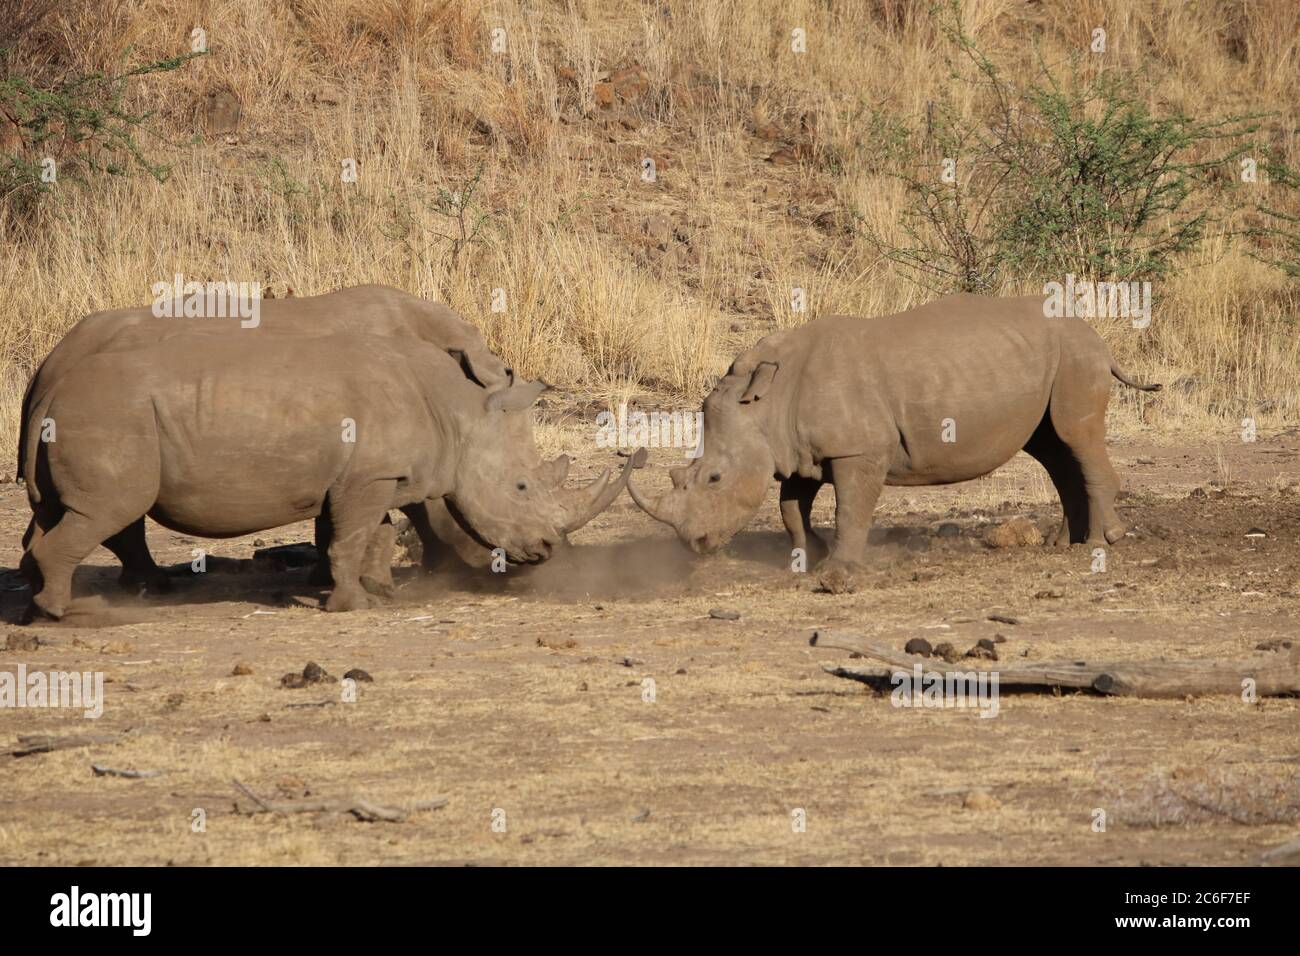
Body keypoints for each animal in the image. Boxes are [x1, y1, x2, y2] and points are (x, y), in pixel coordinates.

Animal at [21, 331, 632, 618]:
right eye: (522, 487)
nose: (547, 552)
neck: (458, 413)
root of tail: (48, 384)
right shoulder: (368, 479)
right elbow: (350, 538)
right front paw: (352, 606)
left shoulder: (375, 476)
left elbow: (372, 534)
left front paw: (379, 593)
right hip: (111, 417)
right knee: (108, 511)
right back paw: (71, 613)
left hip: (85, 417)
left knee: (61, 513)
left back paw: (41, 609)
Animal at [628, 294, 1160, 581]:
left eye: (714, 479)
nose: (695, 546)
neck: (763, 401)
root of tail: (1100, 338)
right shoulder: (800, 451)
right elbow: (791, 507)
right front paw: (806, 560)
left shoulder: (858, 449)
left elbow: (848, 509)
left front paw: (838, 571)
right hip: (1055, 359)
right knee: (1053, 449)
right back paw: (1063, 544)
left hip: (1076, 359)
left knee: (1076, 437)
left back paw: (1100, 544)